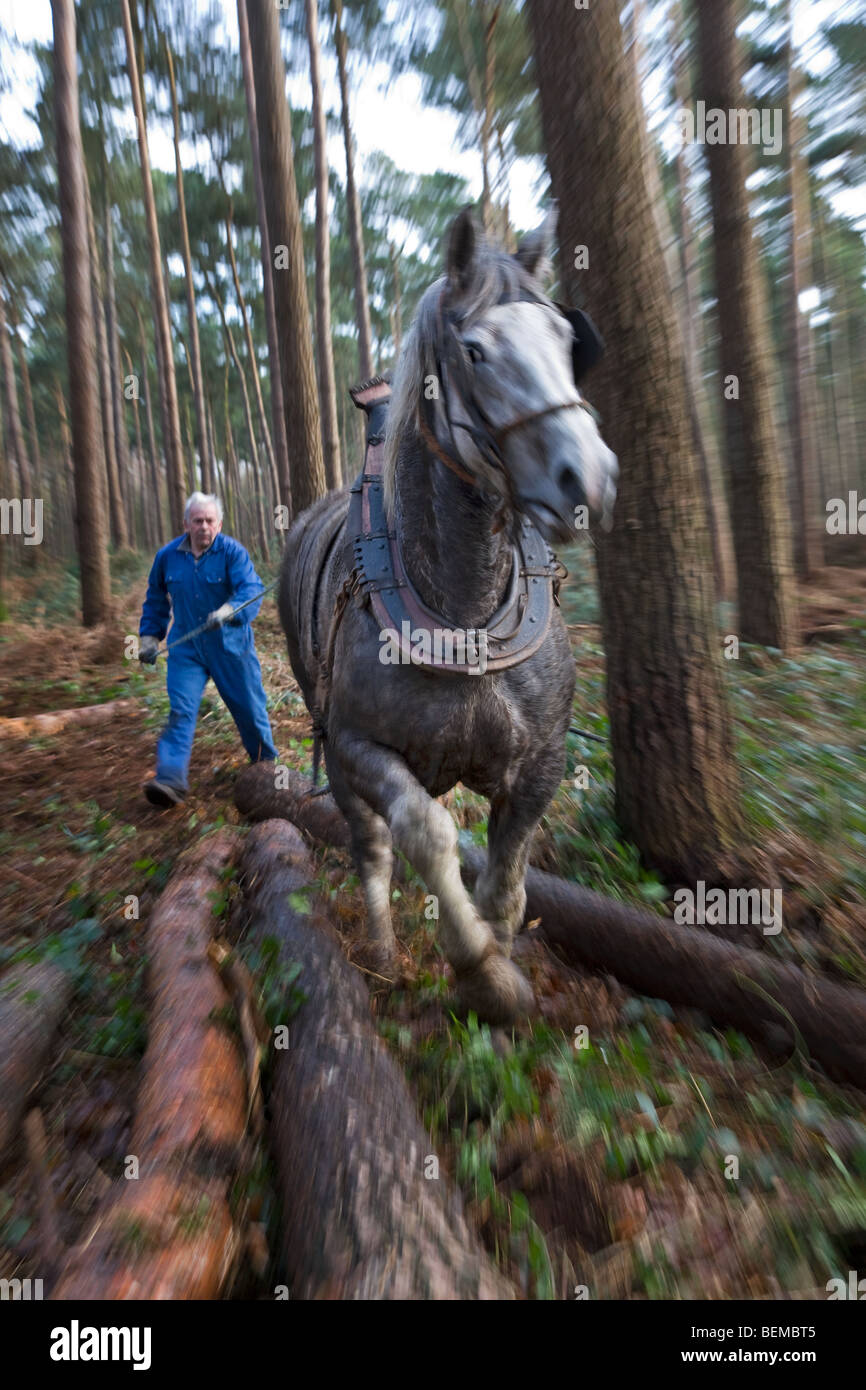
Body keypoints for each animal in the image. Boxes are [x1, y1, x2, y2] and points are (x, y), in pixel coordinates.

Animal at [278, 207, 618, 1024]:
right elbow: (425, 835)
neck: (465, 607)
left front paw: (499, 945)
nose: (589, 478)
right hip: (331, 739)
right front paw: (480, 971)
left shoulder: (542, 758)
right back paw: (380, 950)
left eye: (566, 342)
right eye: (475, 351)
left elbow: (508, 869)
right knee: (369, 843)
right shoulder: (358, 746)